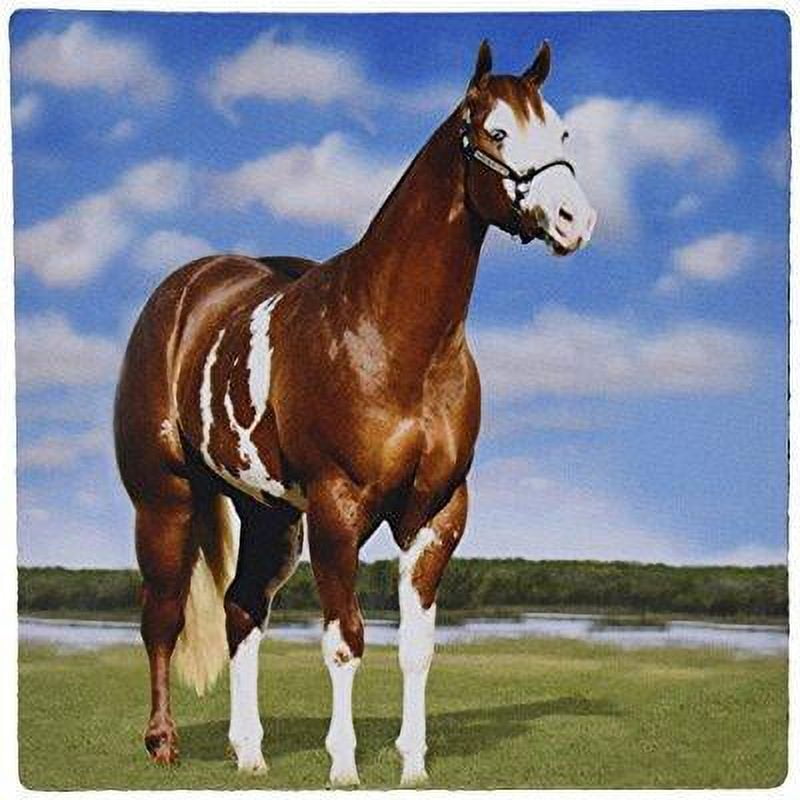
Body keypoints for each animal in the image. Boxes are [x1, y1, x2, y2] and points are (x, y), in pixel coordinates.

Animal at [114, 38, 596, 787]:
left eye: (563, 132)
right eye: (495, 131)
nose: (577, 221)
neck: (390, 335)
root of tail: (183, 292)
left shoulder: (436, 511)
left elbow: (416, 648)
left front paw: (413, 764)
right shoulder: (338, 509)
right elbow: (345, 640)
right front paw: (344, 764)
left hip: (269, 515)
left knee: (241, 610)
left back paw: (249, 751)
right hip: (164, 501)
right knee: (161, 617)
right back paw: (163, 740)